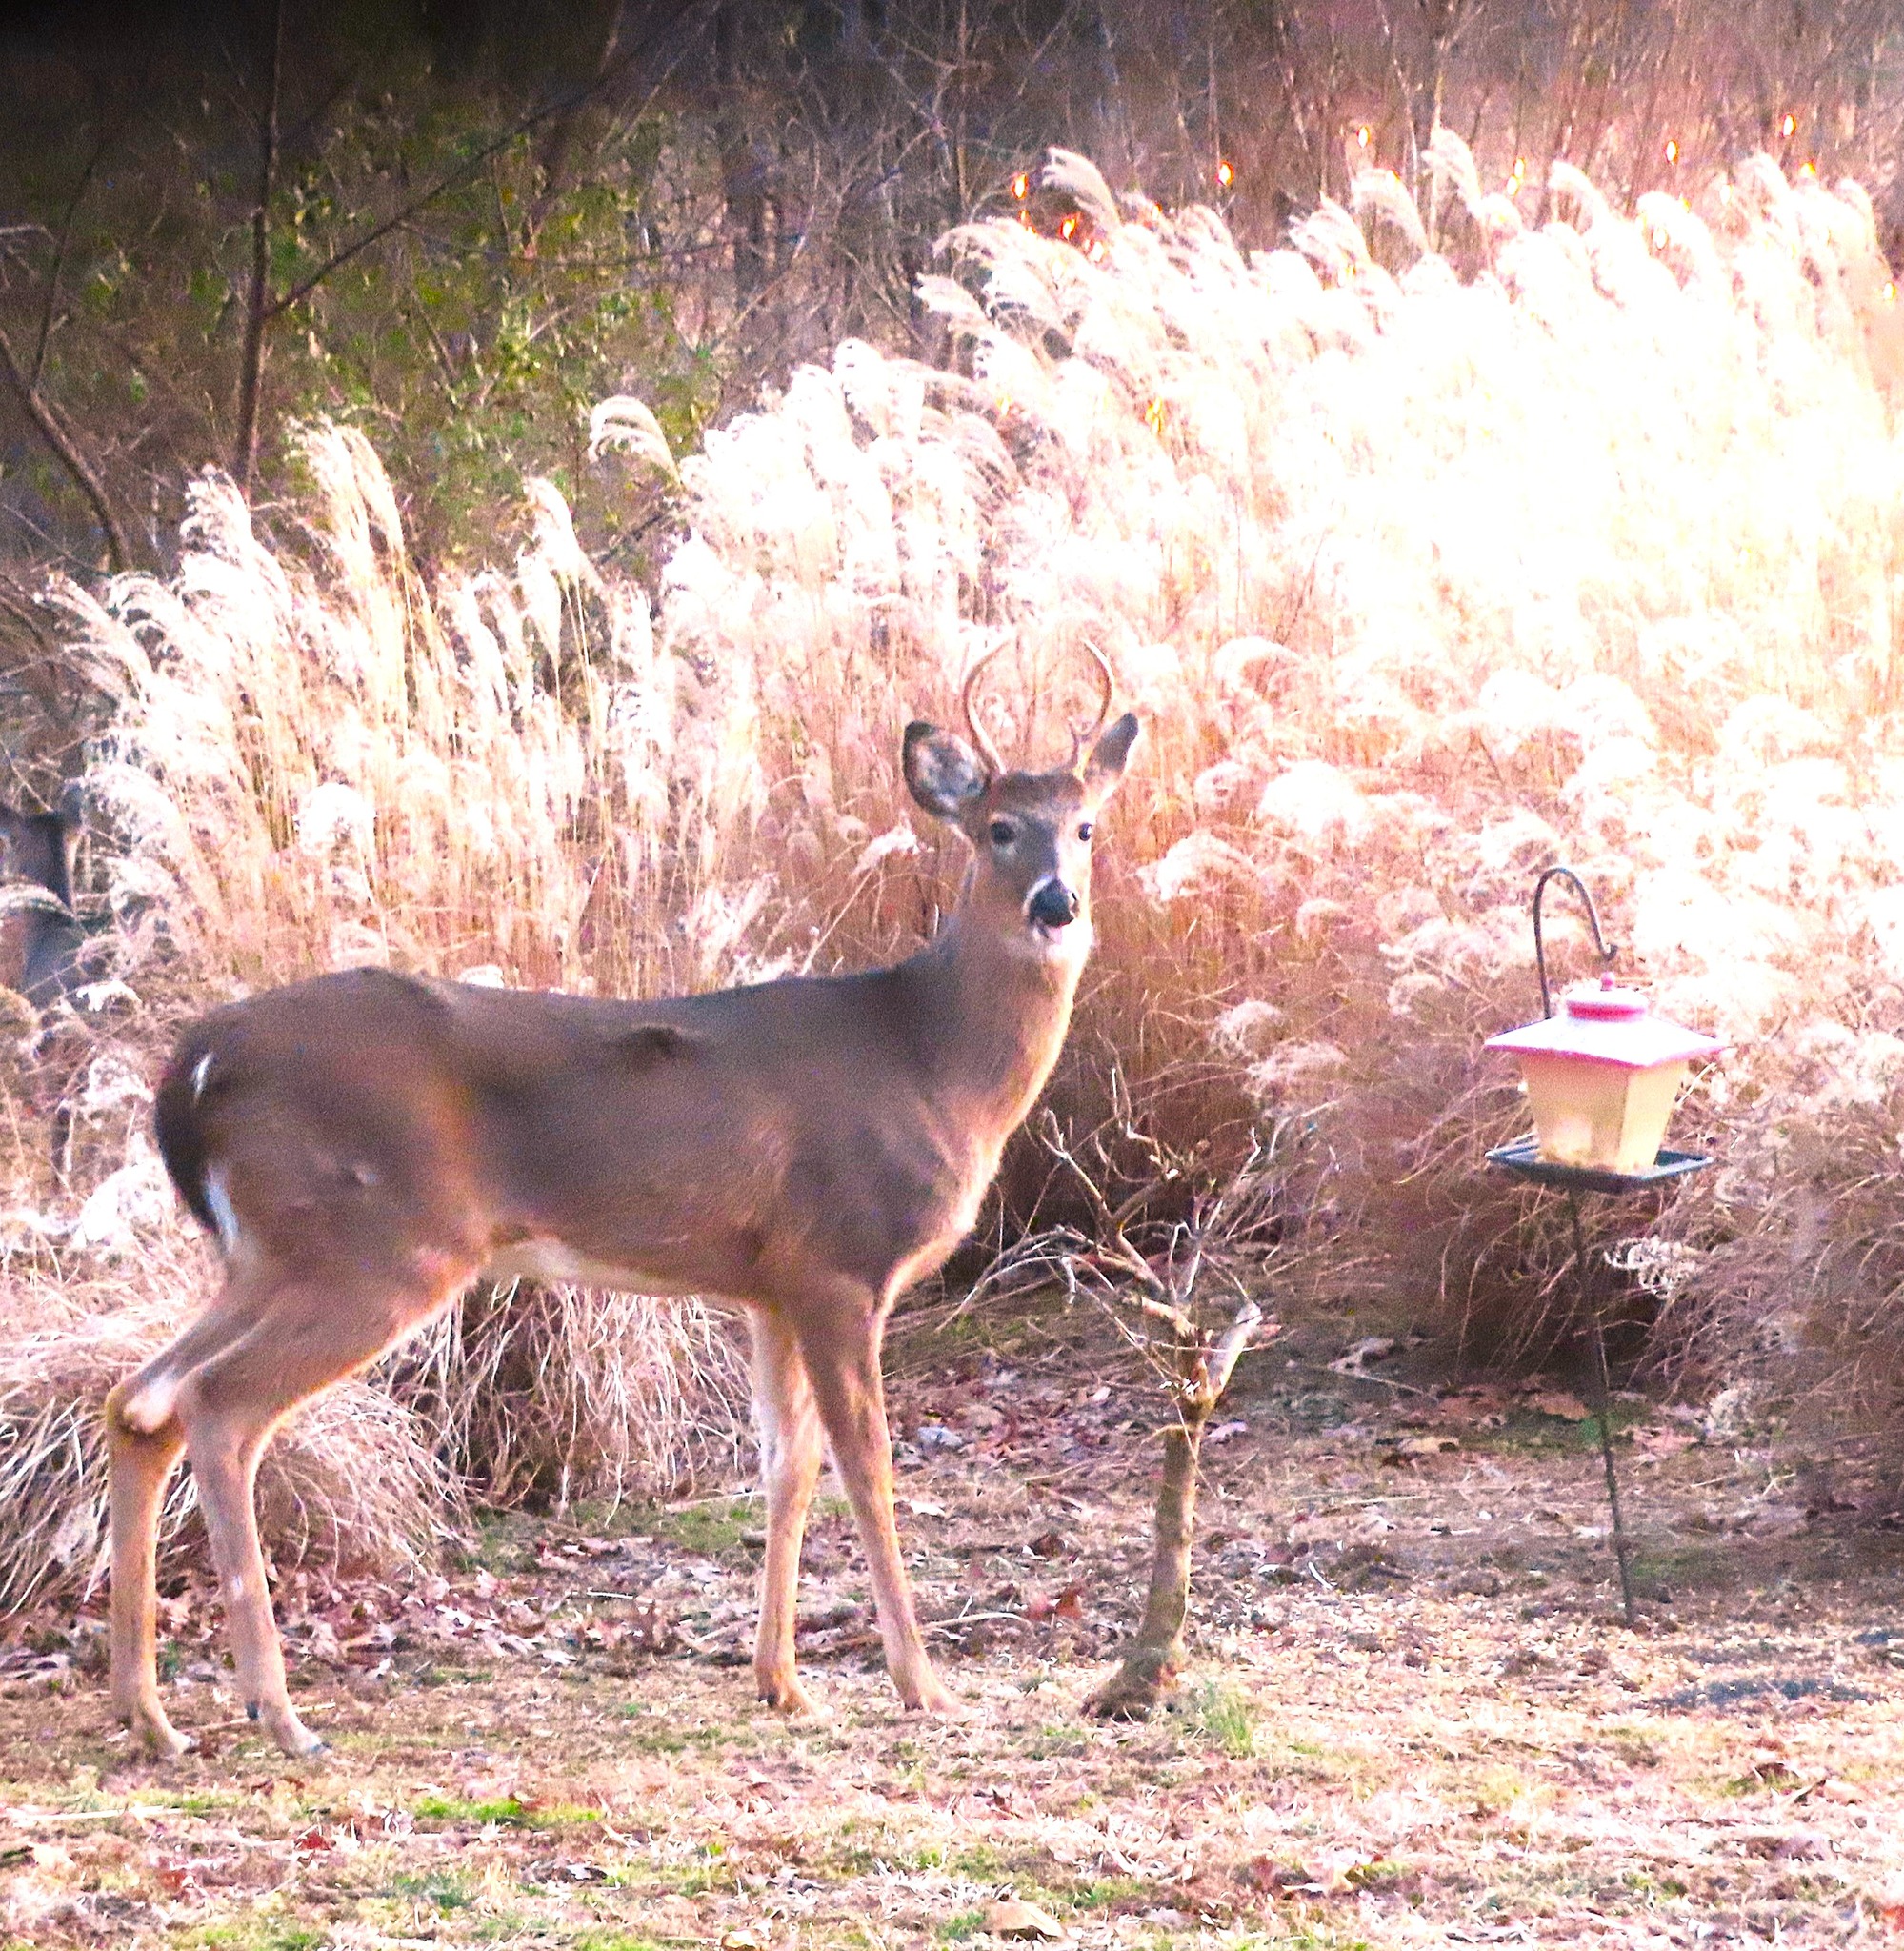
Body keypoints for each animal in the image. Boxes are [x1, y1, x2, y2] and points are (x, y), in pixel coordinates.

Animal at [105, 645, 1139, 1757]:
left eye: (1086, 825)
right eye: (999, 828)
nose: (1056, 903)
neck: (930, 1061)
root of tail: (195, 1067)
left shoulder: (770, 1284)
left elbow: (785, 1464)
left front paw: (781, 1681)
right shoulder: (841, 1262)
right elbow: (867, 1463)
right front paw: (920, 1683)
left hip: (268, 1252)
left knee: (141, 1398)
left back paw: (147, 1712)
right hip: (377, 1246)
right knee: (219, 1406)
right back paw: (279, 1711)